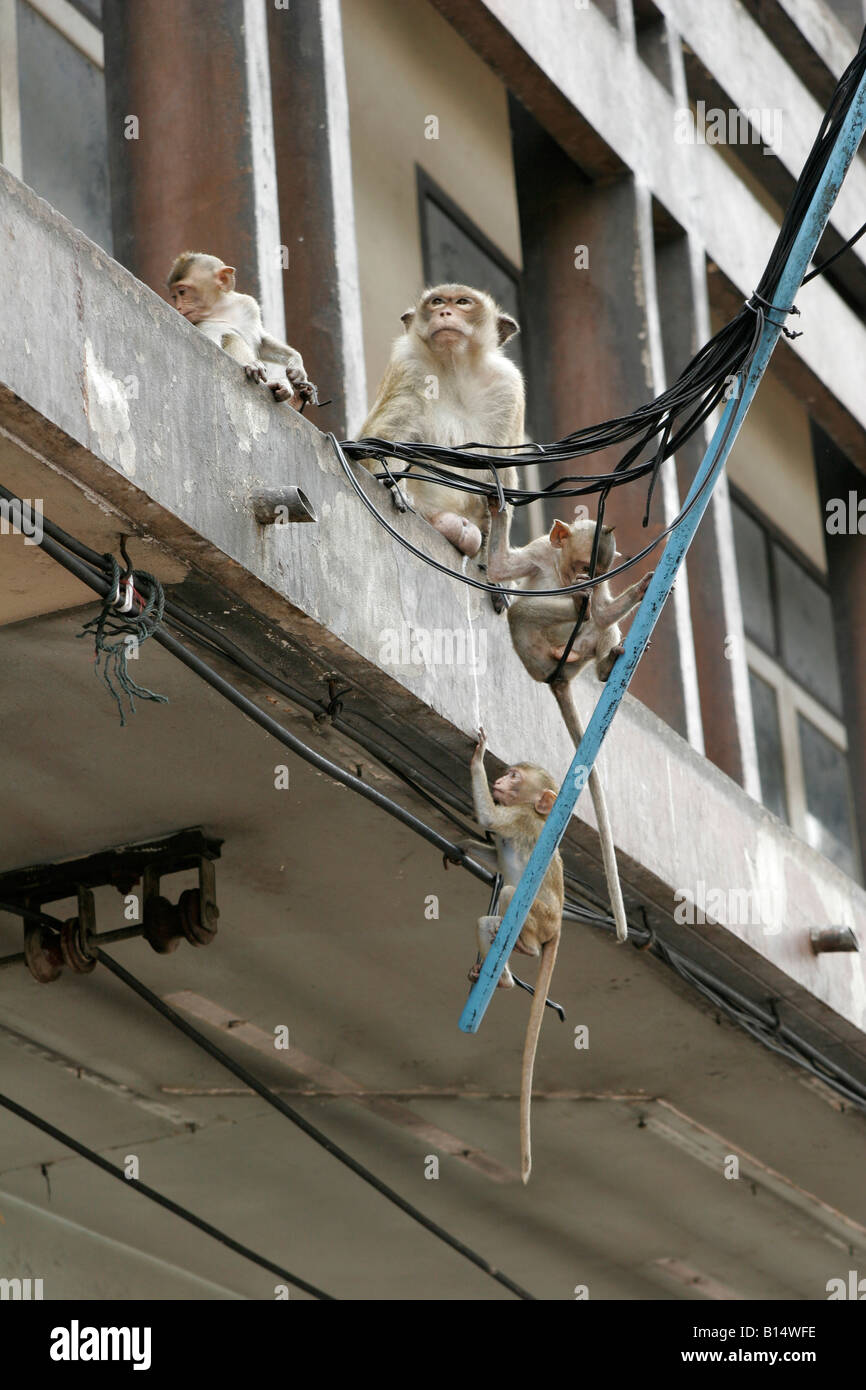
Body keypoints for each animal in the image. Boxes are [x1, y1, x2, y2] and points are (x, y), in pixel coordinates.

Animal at [167, 253, 317, 406]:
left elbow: (262, 342)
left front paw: (296, 364)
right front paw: (253, 365)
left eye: (181, 292)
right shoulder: (204, 324)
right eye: (174, 296)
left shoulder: (248, 305)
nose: (178, 307)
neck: (220, 309)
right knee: (232, 337)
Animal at [358, 284, 523, 564]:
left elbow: (502, 468)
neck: (454, 367)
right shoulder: (409, 365)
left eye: (463, 302)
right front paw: (396, 488)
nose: (444, 312)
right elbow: (386, 435)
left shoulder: (508, 386)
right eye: (436, 302)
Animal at [486, 502, 653, 943]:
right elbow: (500, 569)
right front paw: (499, 507)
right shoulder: (540, 552)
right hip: (536, 658)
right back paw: (570, 616)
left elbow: (604, 610)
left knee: (599, 624)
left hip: (582, 650)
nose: (581, 581)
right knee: (526, 612)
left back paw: (604, 661)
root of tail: (558, 675)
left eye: (594, 569)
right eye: (581, 565)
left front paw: (640, 590)